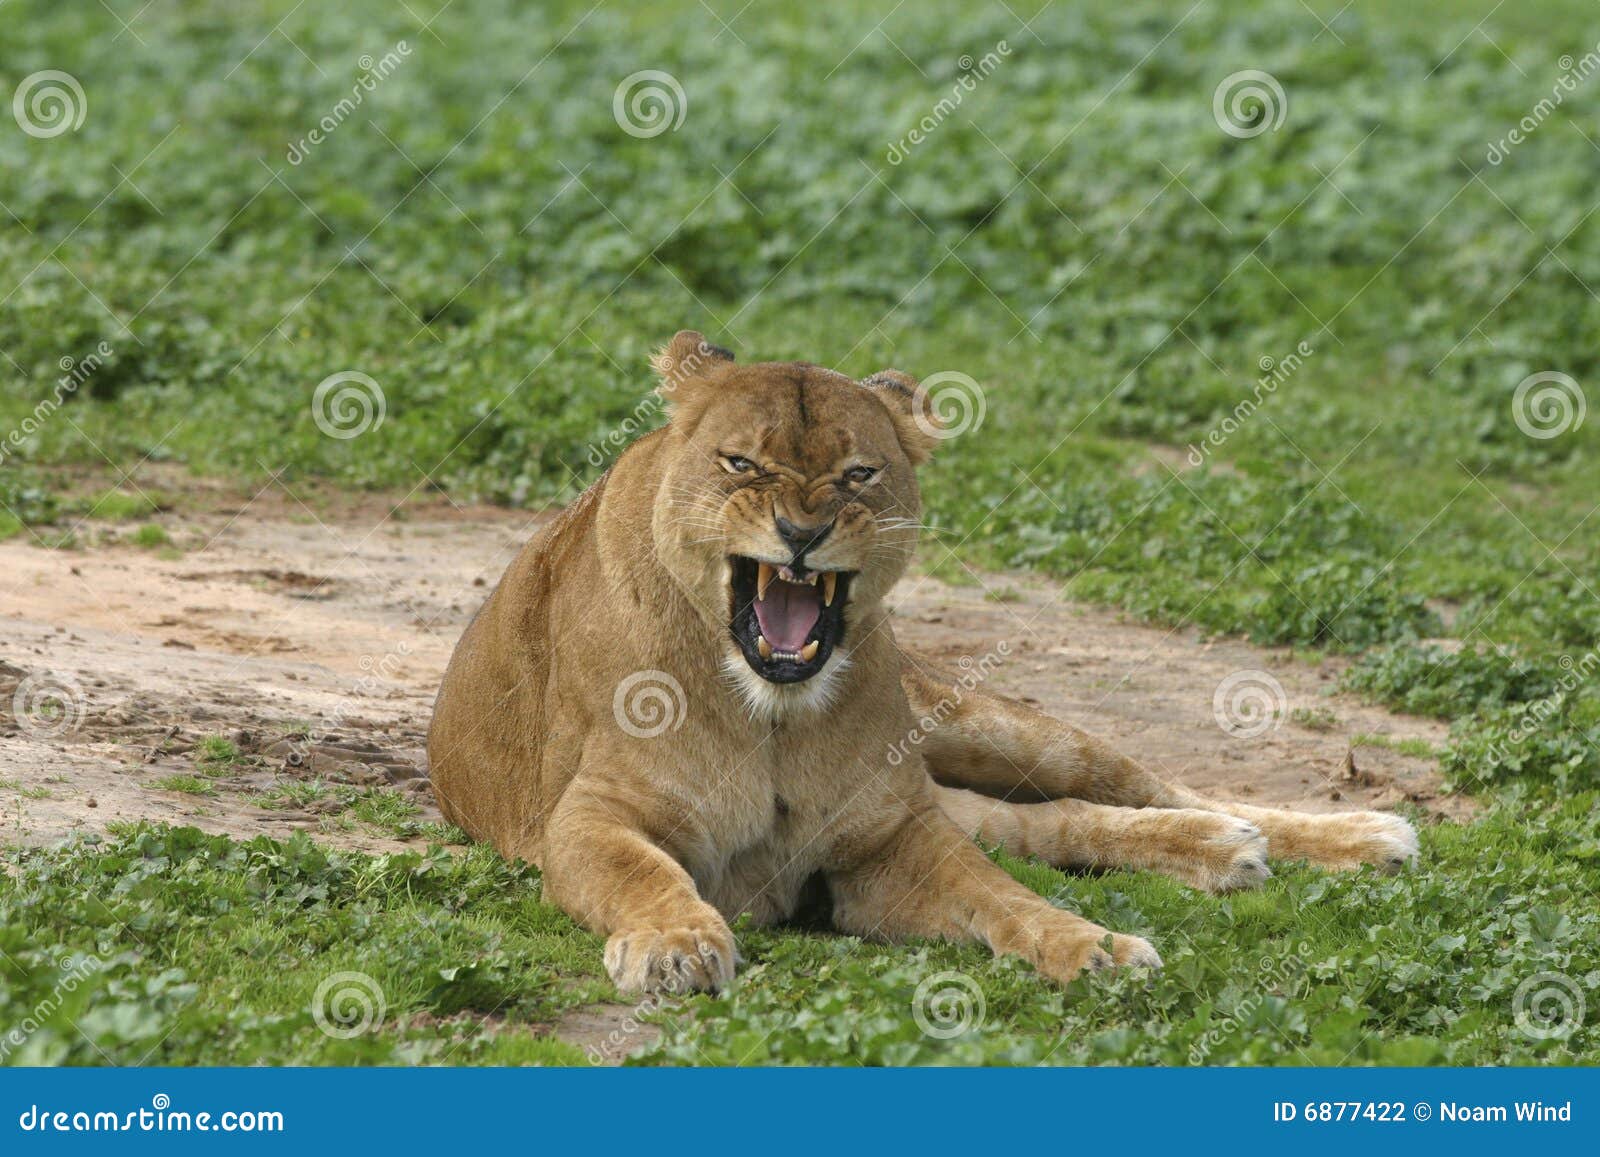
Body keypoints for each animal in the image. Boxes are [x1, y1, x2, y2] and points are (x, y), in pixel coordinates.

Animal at [427, 331, 1418, 994]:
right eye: (741, 462)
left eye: (859, 474)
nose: (801, 530)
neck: (771, 710)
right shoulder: (588, 816)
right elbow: (647, 874)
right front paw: (677, 944)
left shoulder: (891, 835)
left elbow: (1002, 893)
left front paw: (1090, 945)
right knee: (1041, 823)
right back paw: (1230, 850)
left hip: (985, 727)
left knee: (1136, 785)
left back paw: (1339, 836)